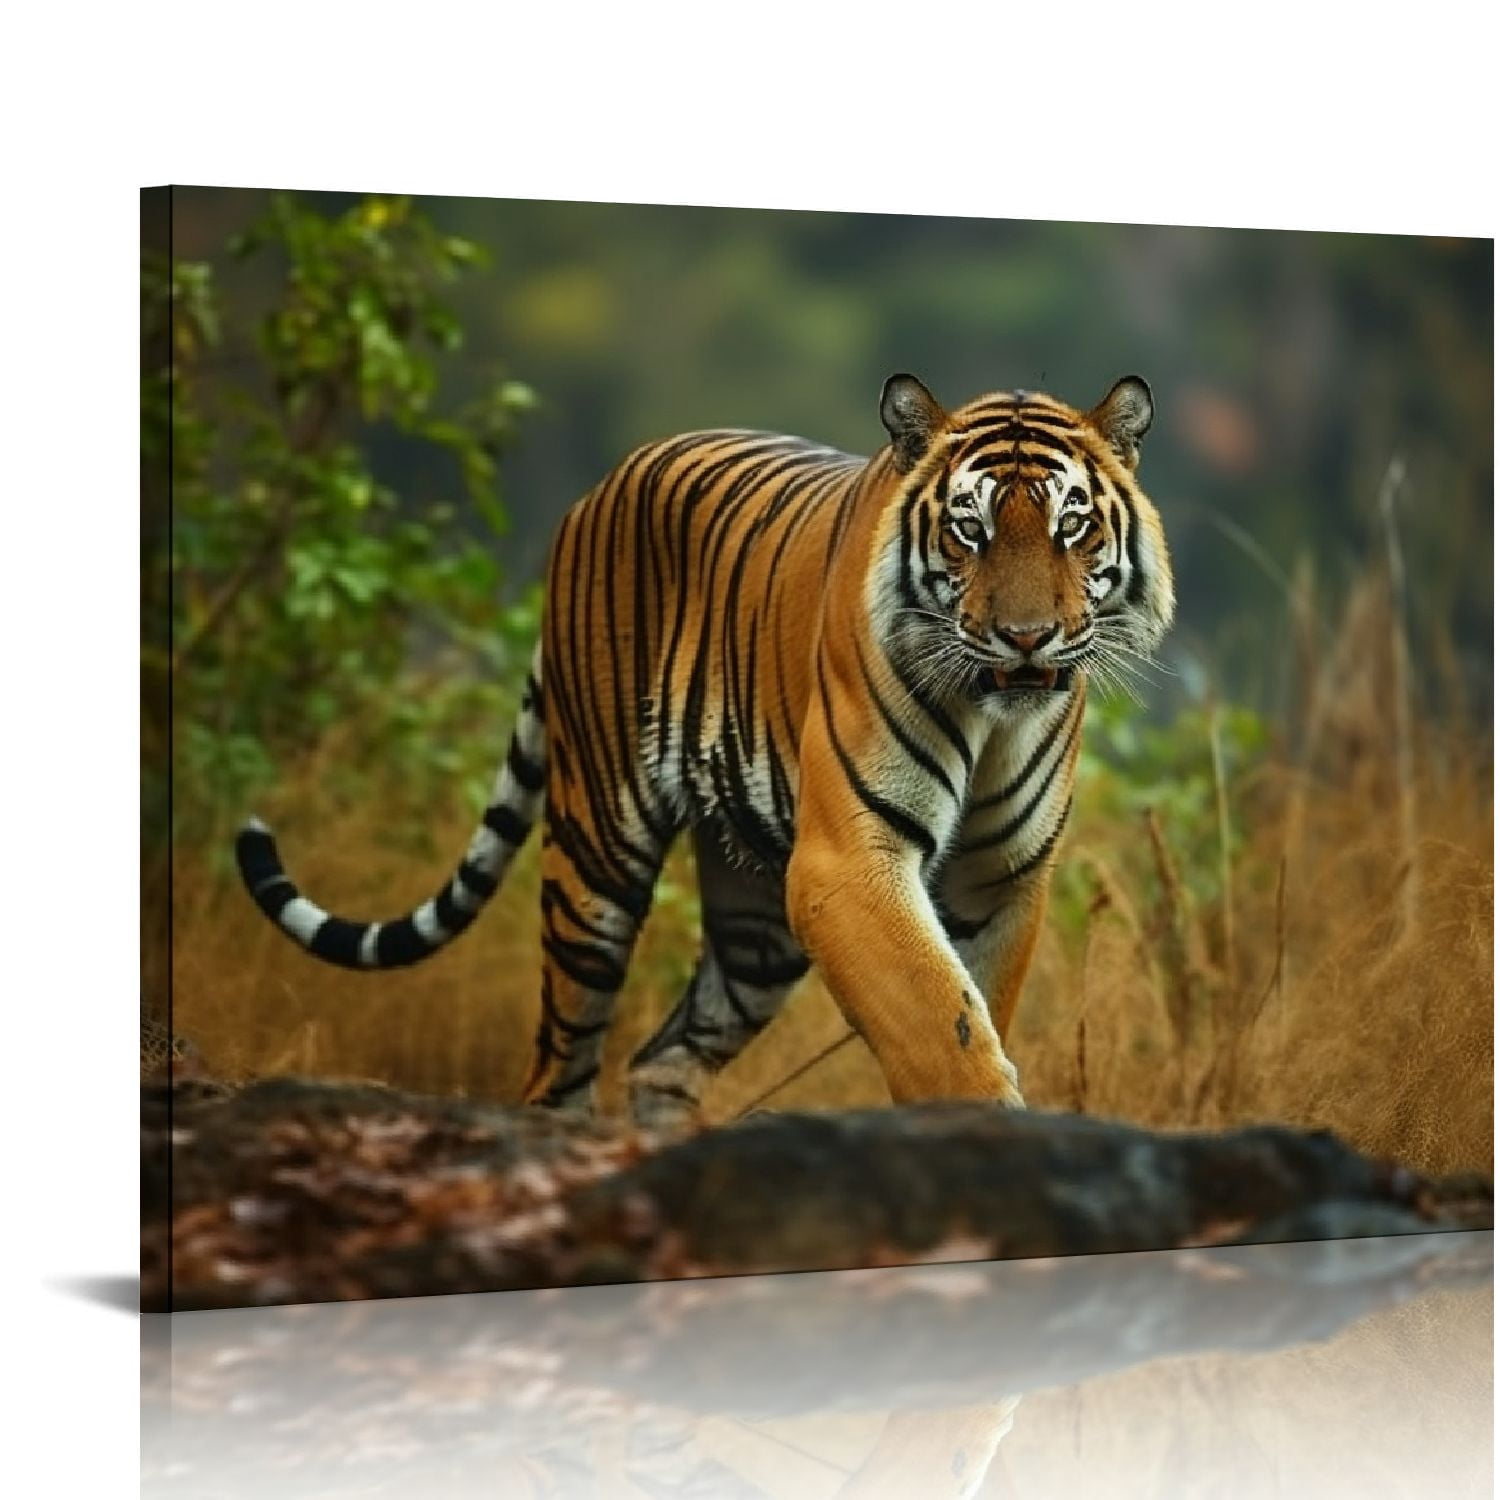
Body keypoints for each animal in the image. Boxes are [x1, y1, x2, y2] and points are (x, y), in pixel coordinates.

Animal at [237, 373, 1174, 1128]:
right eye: (969, 529)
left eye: (1071, 525)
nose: (1027, 638)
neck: (993, 713)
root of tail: (598, 490)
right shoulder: (848, 860)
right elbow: (937, 1020)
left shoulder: (1001, 877)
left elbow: (973, 1007)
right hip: (597, 852)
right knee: (560, 1060)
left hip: (756, 920)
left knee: (665, 1058)